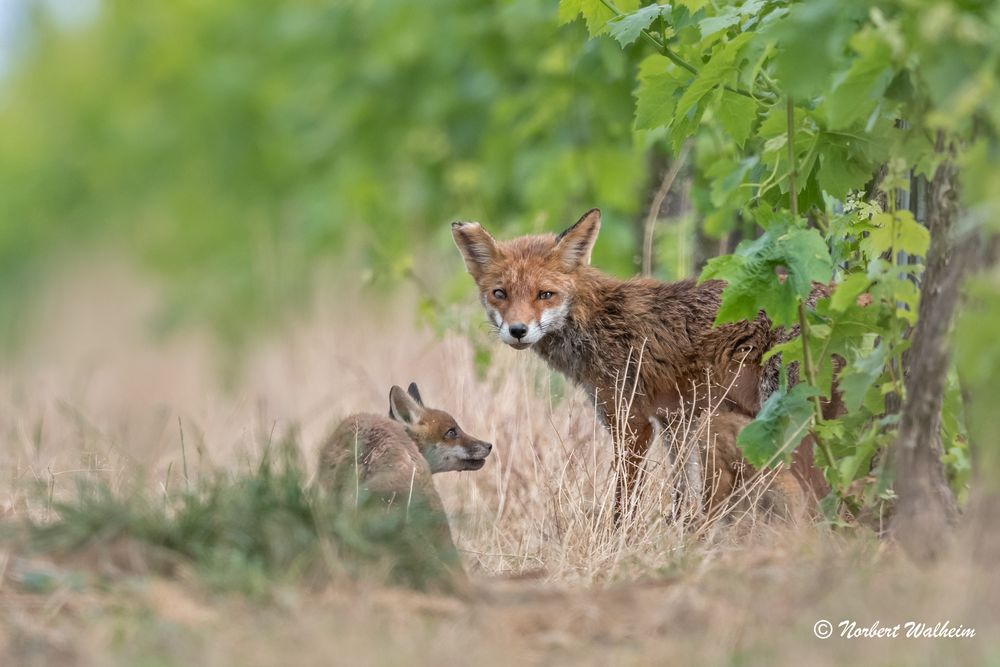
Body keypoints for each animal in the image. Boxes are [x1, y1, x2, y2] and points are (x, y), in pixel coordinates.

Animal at [452, 208, 829, 519]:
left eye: (545, 295)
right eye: (500, 294)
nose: (517, 330)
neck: (595, 321)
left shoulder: (632, 422)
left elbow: (625, 502)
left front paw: (617, 543)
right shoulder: (676, 420)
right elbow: (685, 492)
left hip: (789, 420)